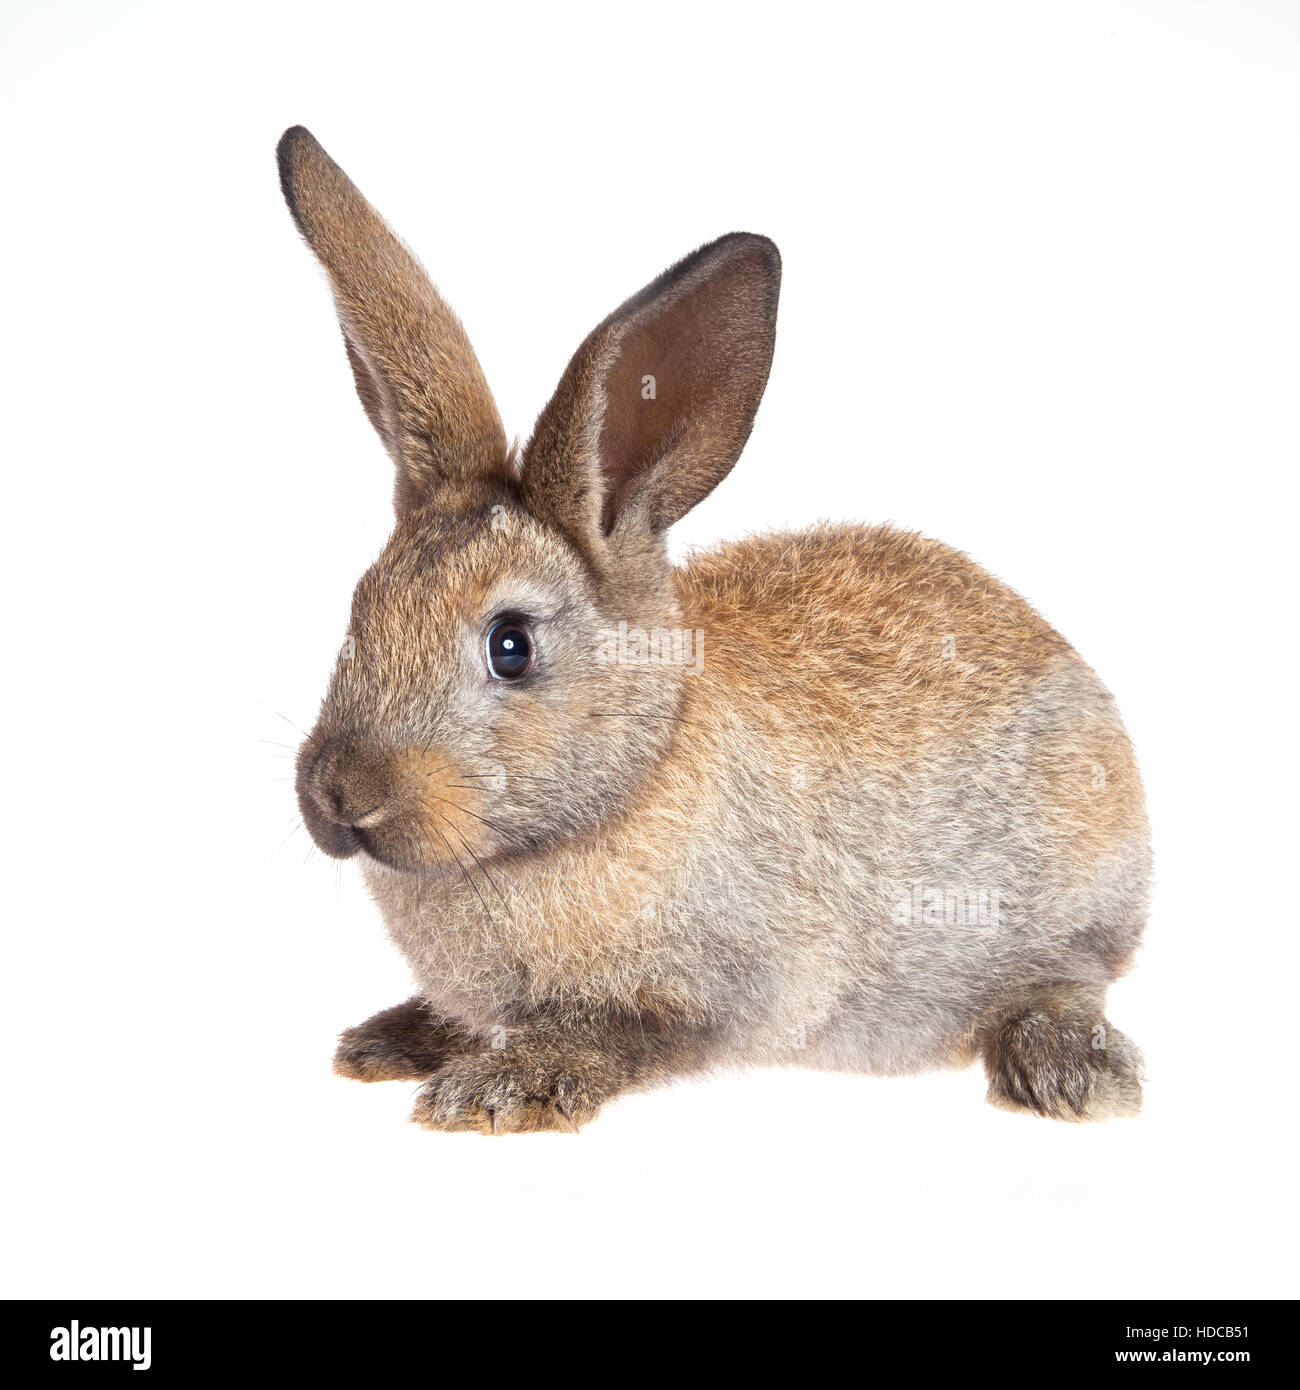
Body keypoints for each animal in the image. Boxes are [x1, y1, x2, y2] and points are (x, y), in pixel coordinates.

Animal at [278, 126, 1151, 1134]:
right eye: (359, 605)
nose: (340, 793)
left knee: (1067, 979)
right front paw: (395, 1043)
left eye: (511, 646)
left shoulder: (726, 986)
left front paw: (498, 1089)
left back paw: (1069, 1071)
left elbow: (620, 1033)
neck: (627, 779)